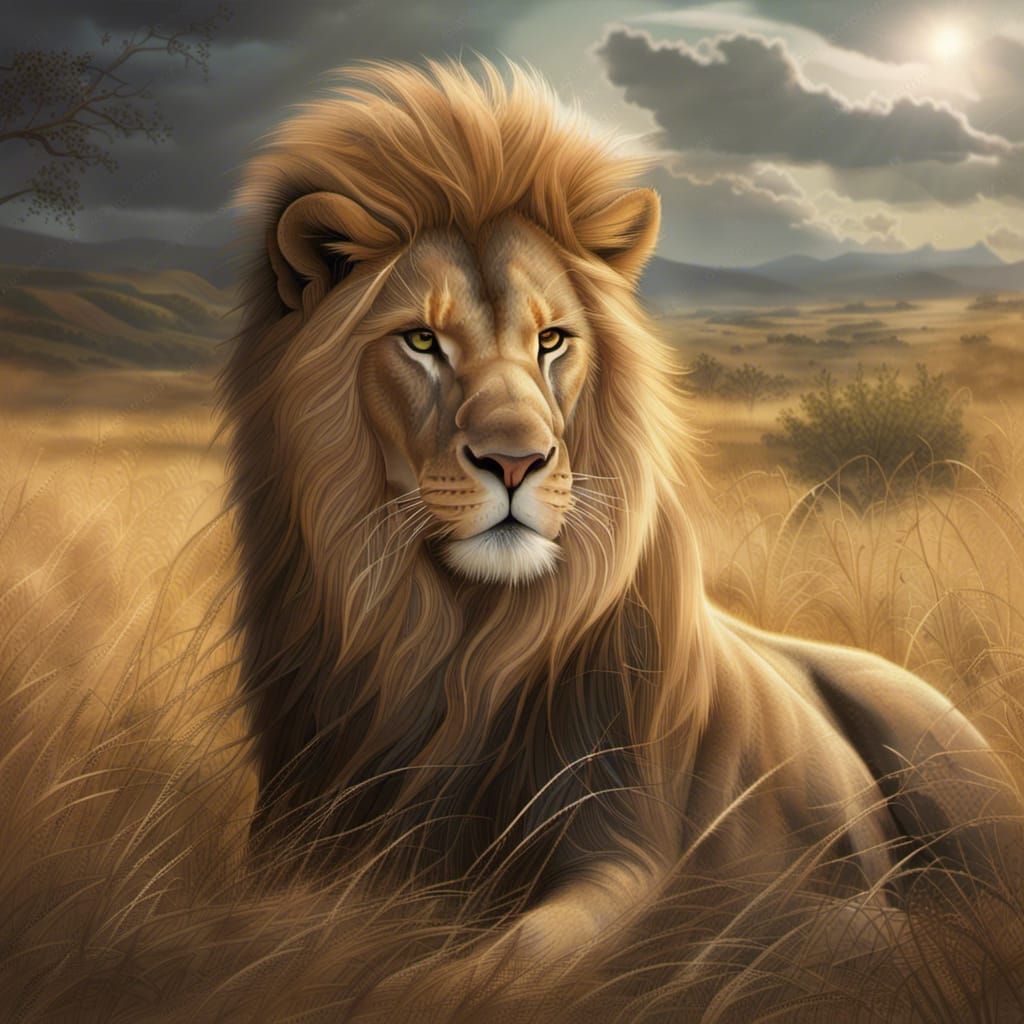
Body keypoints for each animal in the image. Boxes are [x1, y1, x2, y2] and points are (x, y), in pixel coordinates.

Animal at [221, 58, 1021, 1000]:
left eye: (552, 341)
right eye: (420, 340)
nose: (516, 461)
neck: (463, 642)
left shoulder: (632, 851)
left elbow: (515, 957)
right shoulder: (303, 834)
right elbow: (262, 924)